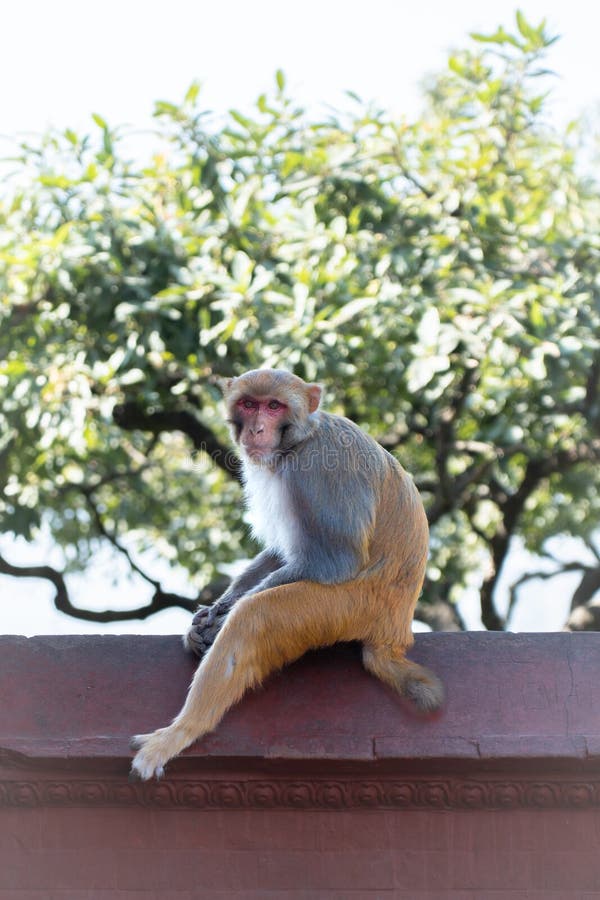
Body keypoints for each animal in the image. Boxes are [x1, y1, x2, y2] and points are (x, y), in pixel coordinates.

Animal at [130, 368, 443, 780]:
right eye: (250, 404)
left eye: (274, 406)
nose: (258, 428)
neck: (298, 441)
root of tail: (396, 630)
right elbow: (282, 552)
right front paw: (212, 612)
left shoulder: (319, 469)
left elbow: (338, 559)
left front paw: (223, 617)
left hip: (348, 607)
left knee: (257, 618)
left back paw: (183, 730)